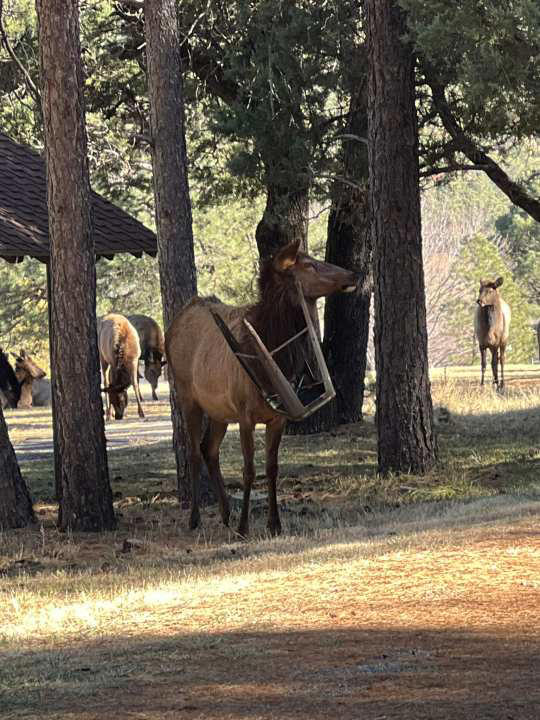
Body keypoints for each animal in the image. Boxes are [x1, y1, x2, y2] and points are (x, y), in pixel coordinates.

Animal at [165, 240, 357, 537]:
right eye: (309, 265)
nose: (353, 274)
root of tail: (171, 328)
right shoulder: (245, 415)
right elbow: (249, 470)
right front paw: (245, 526)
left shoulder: (277, 417)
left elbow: (272, 468)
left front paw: (275, 524)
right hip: (188, 396)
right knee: (194, 451)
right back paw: (196, 519)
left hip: (220, 410)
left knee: (209, 448)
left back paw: (225, 513)